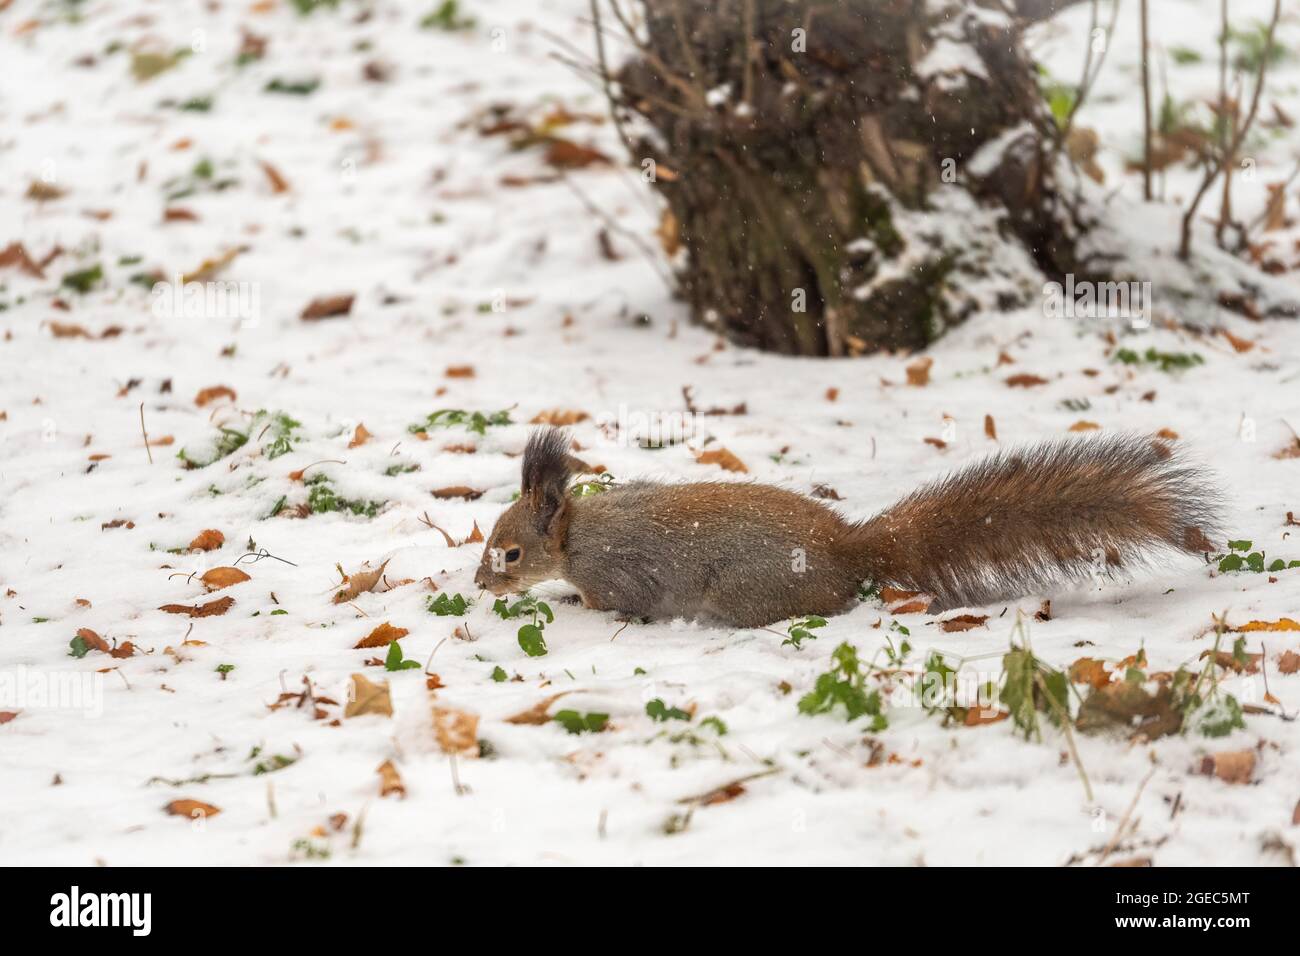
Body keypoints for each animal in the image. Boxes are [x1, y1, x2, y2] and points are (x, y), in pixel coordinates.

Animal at [474, 428, 1222, 628]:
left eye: (510, 553)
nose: (480, 584)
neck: (577, 538)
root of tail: (847, 549)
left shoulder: (621, 575)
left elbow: (619, 603)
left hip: (746, 591)